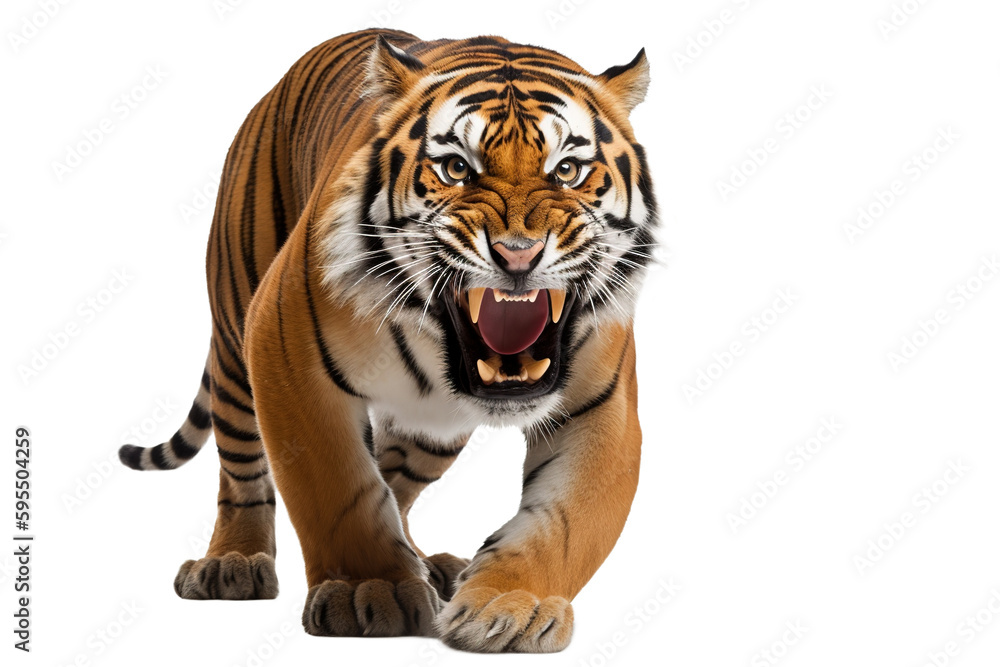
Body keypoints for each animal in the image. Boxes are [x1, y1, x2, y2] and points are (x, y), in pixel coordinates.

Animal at [118, 29, 658, 653]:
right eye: (456, 168)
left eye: (567, 170)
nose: (518, 254)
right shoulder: (286, 355)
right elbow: (339, 490)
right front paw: (367, 589)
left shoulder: (599, 408)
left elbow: (567, 521)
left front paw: (508, 605)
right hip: (235, 333)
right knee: (243, 466)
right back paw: (233, 562)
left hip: (437, 431)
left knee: (396, 483)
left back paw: (429, 565)